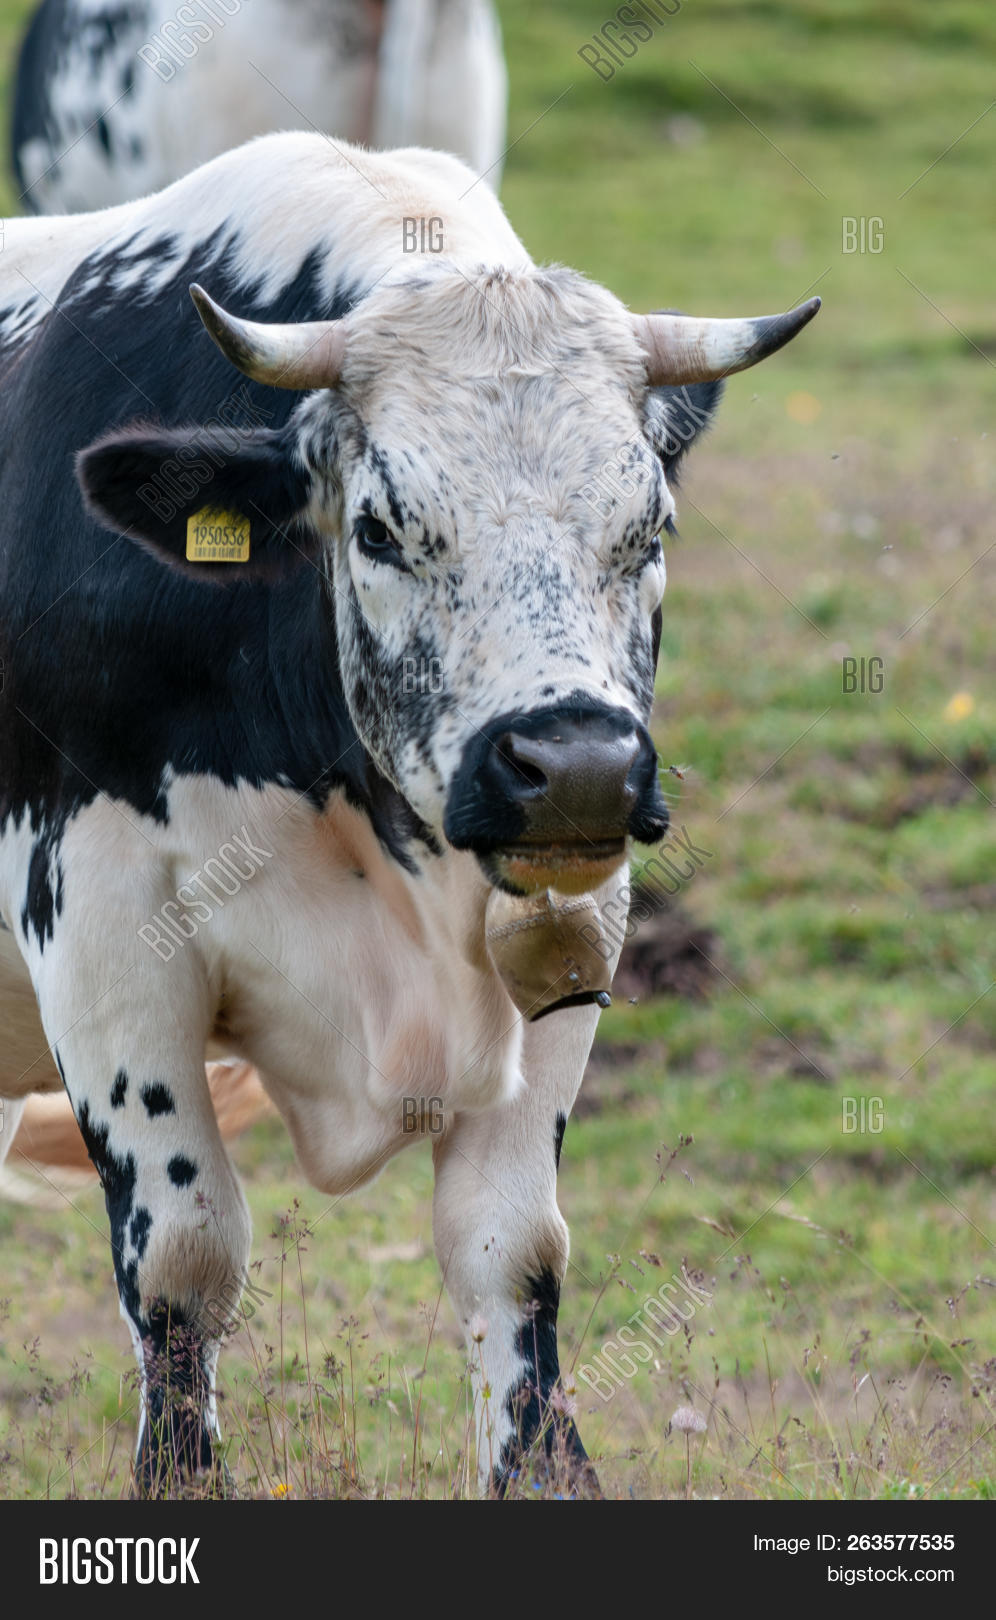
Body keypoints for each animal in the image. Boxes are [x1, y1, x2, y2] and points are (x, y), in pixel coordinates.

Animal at [0, 131, 819, 1496]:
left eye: (650, 525)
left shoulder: (572, 923)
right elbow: (183, 1259)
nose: (576, 763)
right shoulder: (102, 926)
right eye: (381, 527)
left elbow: (511, 1247)